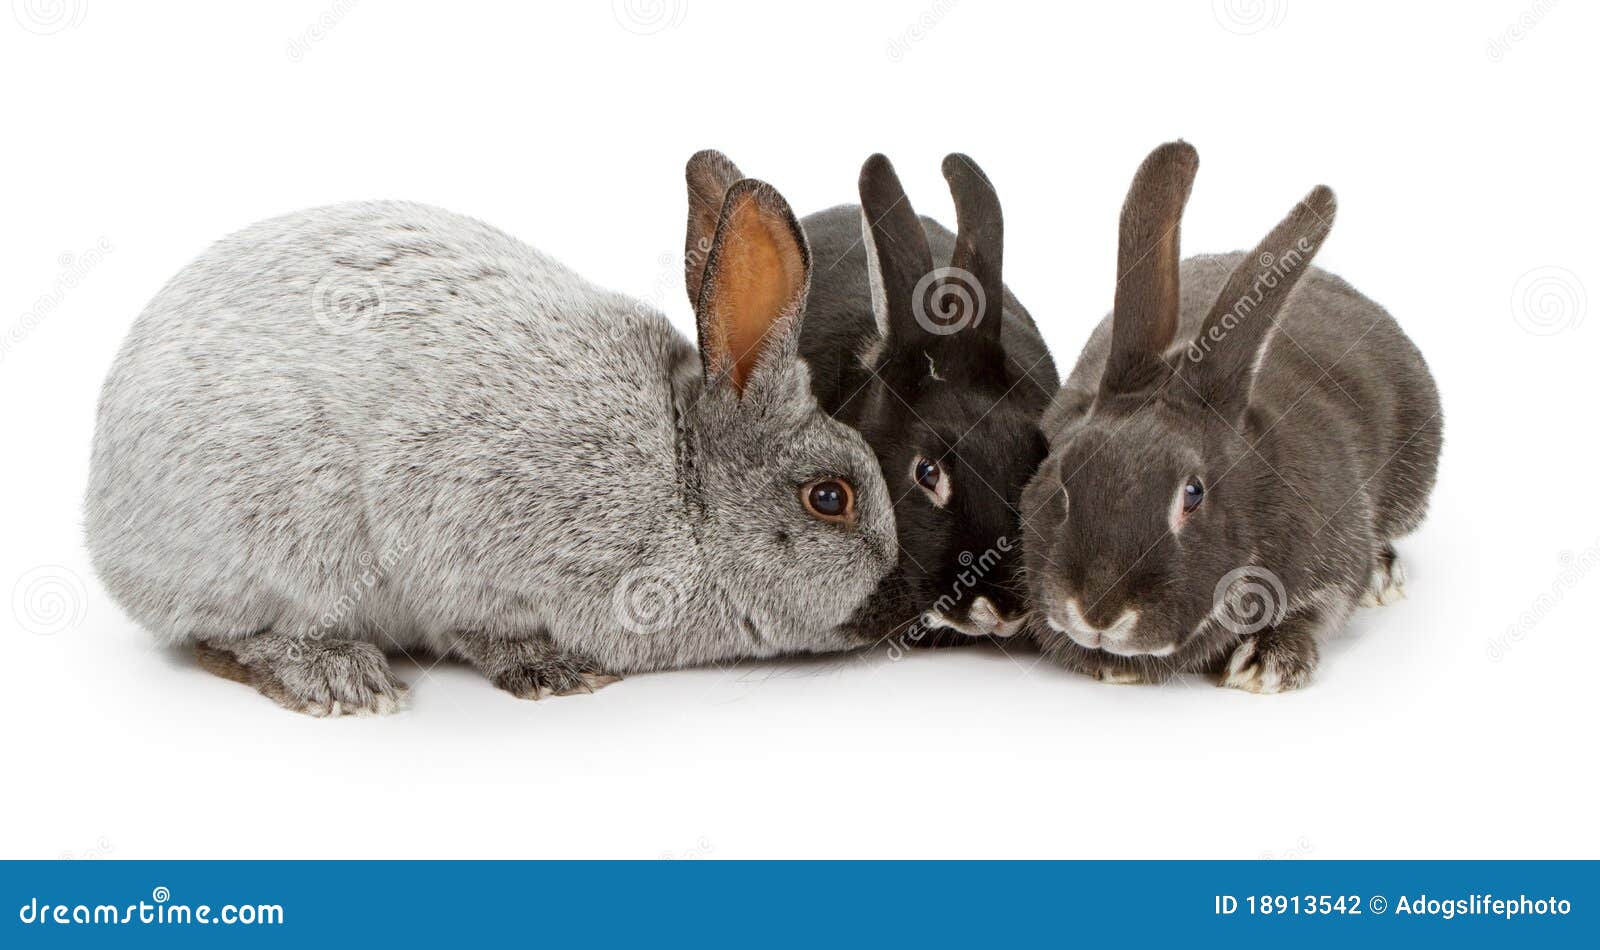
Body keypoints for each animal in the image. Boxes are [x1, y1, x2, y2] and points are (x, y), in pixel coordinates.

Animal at [84, 171, 897, 716]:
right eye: (829, 498)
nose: (900, 591)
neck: (686, 483)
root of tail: (102, 517)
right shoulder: (454, 525)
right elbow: (475, 624)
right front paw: (548, 670)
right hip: (286, 545)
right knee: (230, 636)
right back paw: (340, 677)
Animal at [1019, 141, 1442, 692]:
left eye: (1193, 494)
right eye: (1063, 482)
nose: (1098, 613)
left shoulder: (1336, 559)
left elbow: (1320, 611)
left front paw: (1265, 665)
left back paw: (1384, 576)